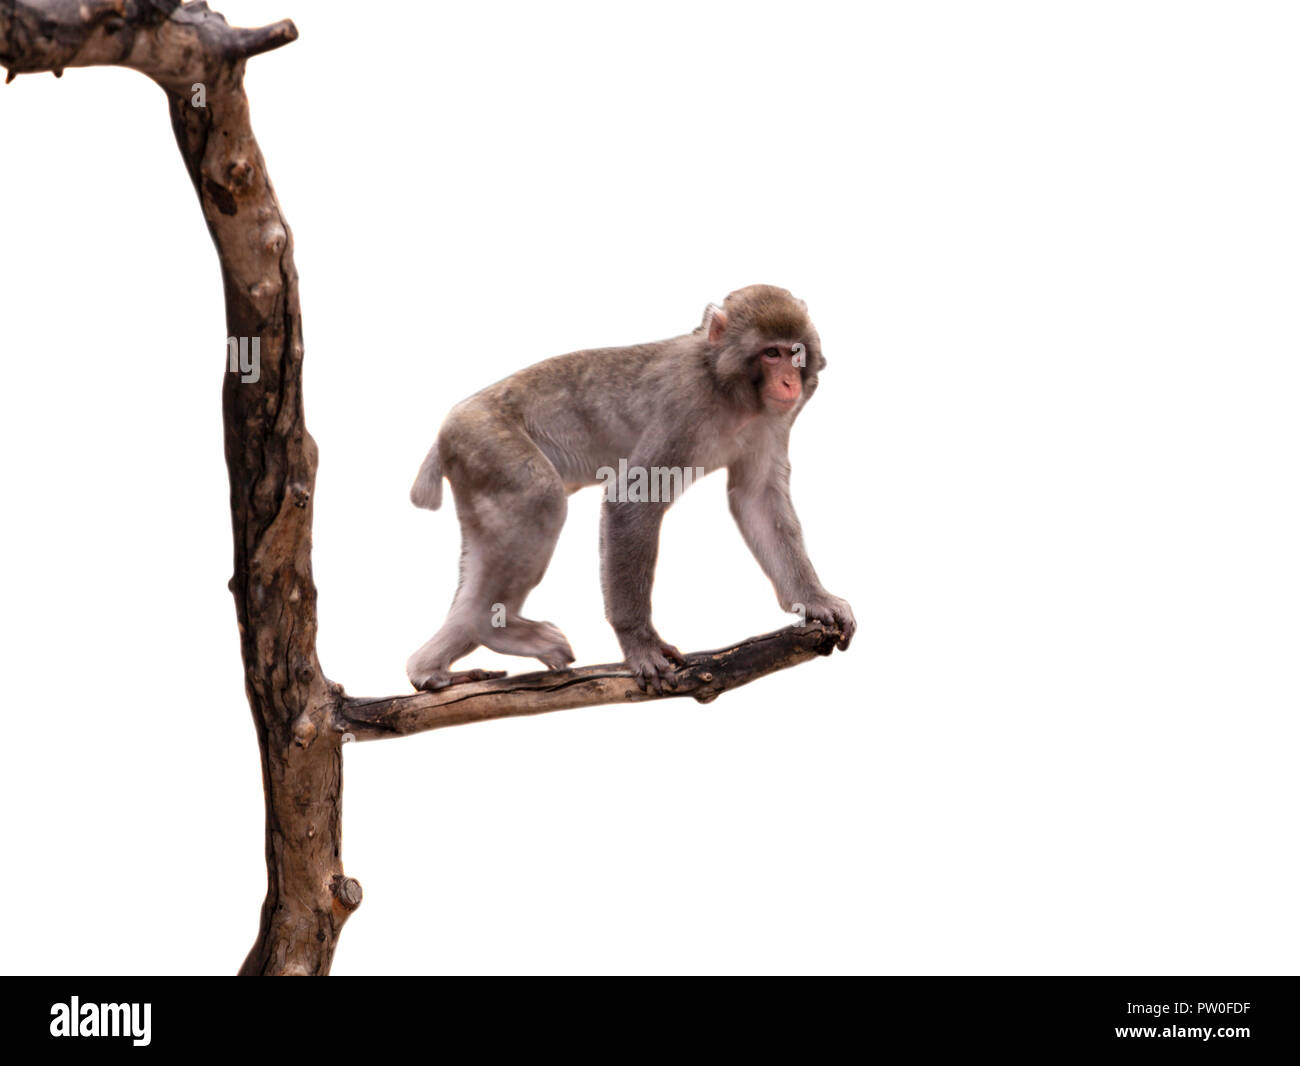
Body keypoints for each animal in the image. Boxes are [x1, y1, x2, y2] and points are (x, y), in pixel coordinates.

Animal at [406, 284, 855, 693]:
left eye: (795, 352)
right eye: (771, 353)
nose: (789, 383)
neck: (727, 389)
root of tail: (446, 431)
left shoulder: (773, 419)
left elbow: (757, 498)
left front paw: (814, 599)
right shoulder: (686, 404)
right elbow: (631, 500)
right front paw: (641, 645)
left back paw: (430, 667)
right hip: (486, 441)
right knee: (541, 500)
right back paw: (490, 628)